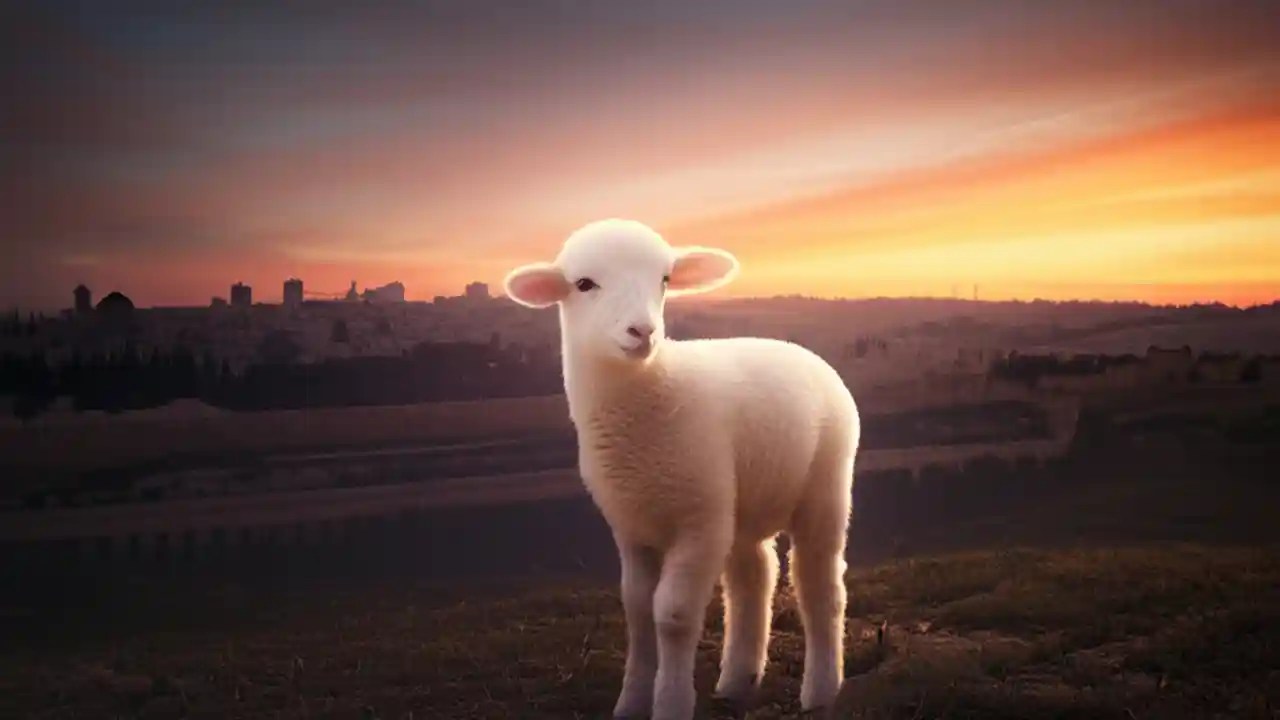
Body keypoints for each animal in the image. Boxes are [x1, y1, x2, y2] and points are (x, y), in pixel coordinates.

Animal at [503, 218, 860, 719]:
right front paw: (631, 701)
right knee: (754, 574)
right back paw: (738, 680)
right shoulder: (631, 527)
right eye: (584, 284)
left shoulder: (698, 523)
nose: (642, 331)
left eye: (665, 280)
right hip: (739, 503)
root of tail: (798, 349)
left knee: (819, 584)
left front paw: (670, 701)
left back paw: (822, 690)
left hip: (824, 484)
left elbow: (670, 615)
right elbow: (637, 611)